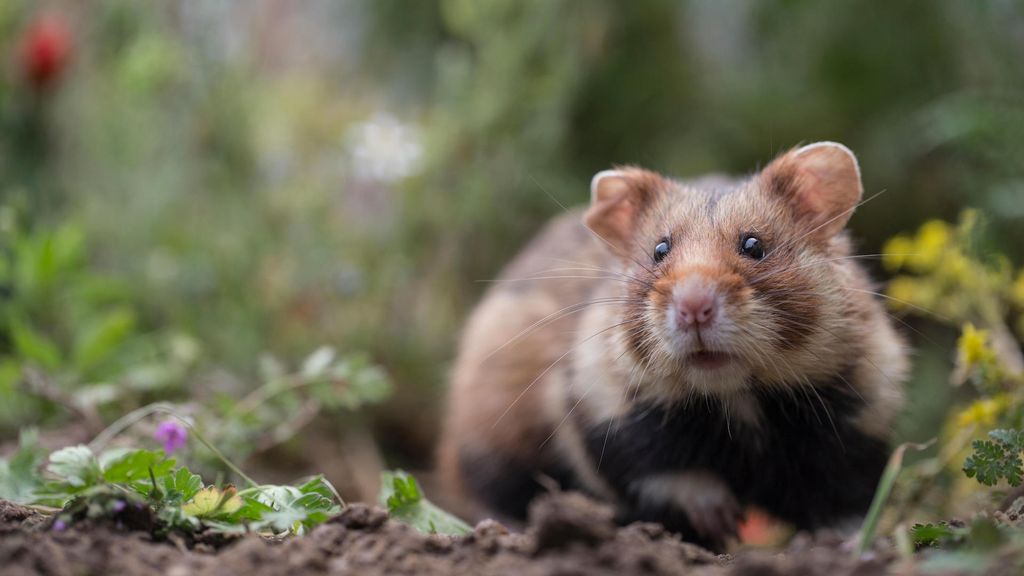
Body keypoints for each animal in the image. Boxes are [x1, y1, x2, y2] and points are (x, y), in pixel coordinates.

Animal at [437, 142, 908, 550]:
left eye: (754, 245)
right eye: (659, 250)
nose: (693, 307)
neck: (736, 399)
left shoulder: (856, 420)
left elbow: (847, 503)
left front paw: (848, 545)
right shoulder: (604, 415)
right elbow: (668, 475)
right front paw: (723, 521)